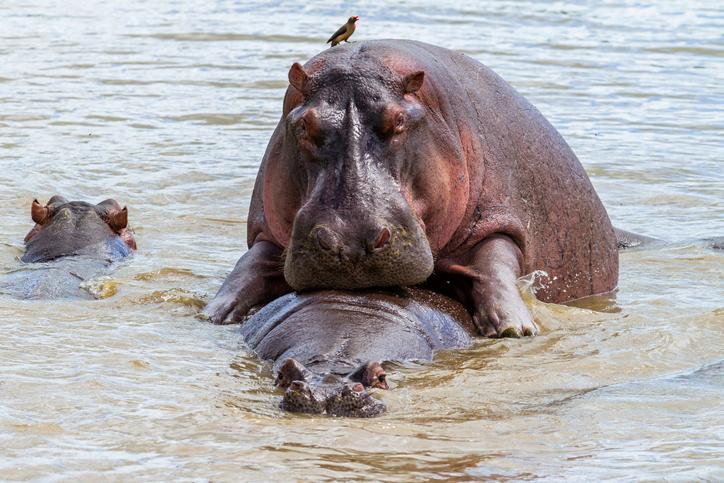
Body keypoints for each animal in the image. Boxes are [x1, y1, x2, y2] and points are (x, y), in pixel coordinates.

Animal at [204, 40, 618, 338]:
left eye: (399, 121)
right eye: (303, 124)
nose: (351, 244)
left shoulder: (500, 213)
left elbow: (496, 258)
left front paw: (515, 325)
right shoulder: (268, 228)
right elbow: (250, 263)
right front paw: (215, 310)